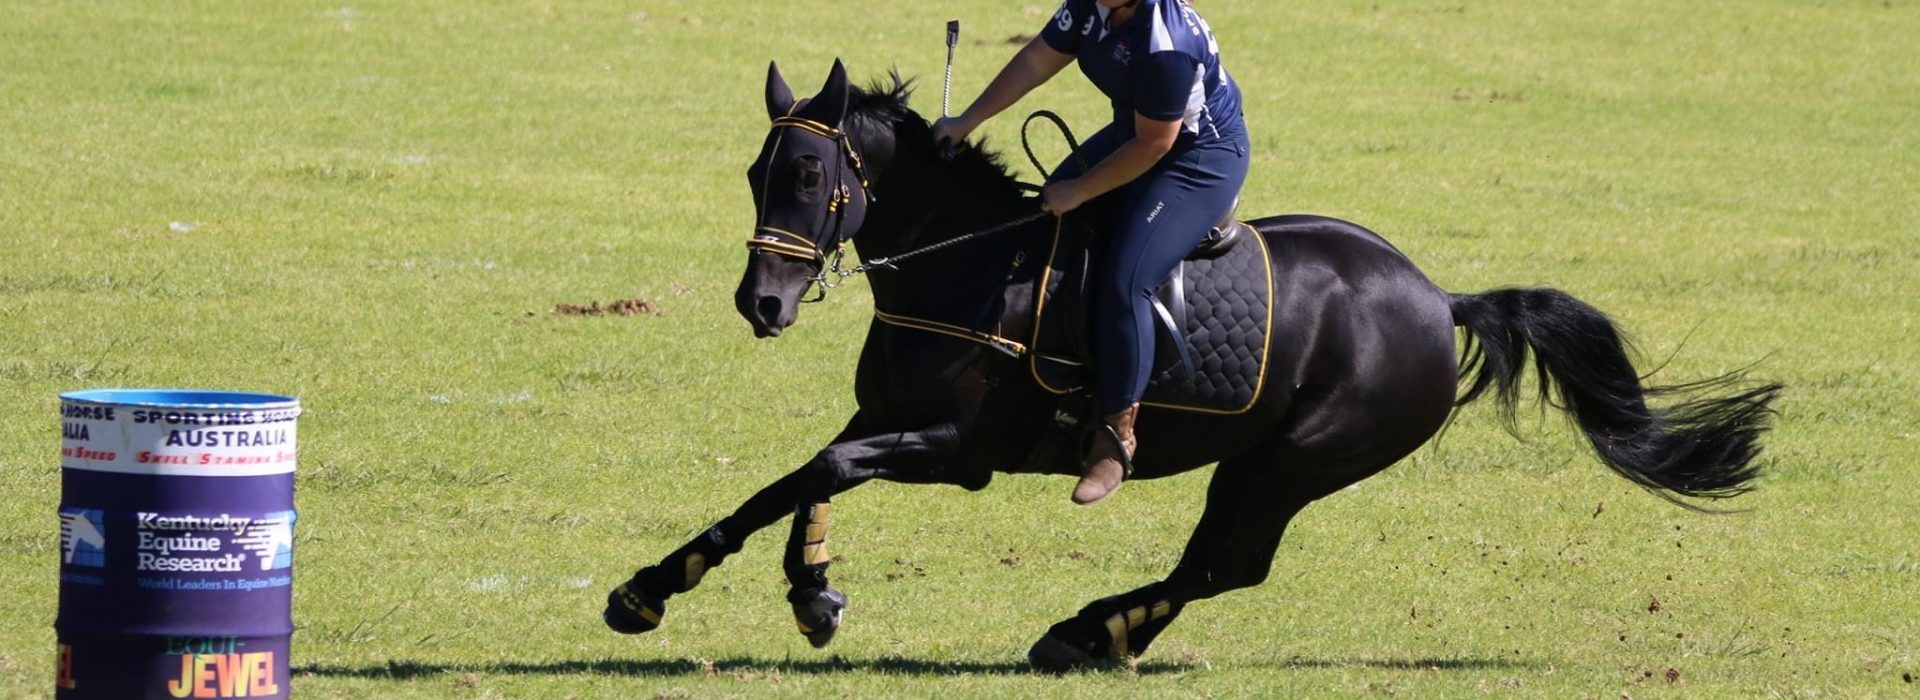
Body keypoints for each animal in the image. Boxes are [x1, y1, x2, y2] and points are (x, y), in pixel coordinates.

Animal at [603, 59, 1782, 671]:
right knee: (1224, 562)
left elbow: (819, 472)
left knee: (1228, 562)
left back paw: (1088, 629)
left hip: (1299, 458)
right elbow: (797, 481)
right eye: (756, 172)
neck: (965, 266)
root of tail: (1436, 298)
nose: (762, 303)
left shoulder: (956, 448)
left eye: (811, 177)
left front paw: (689, 592)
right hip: (1268, 460)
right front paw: (777, 590)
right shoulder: (884, 421)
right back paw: (1100, 633)